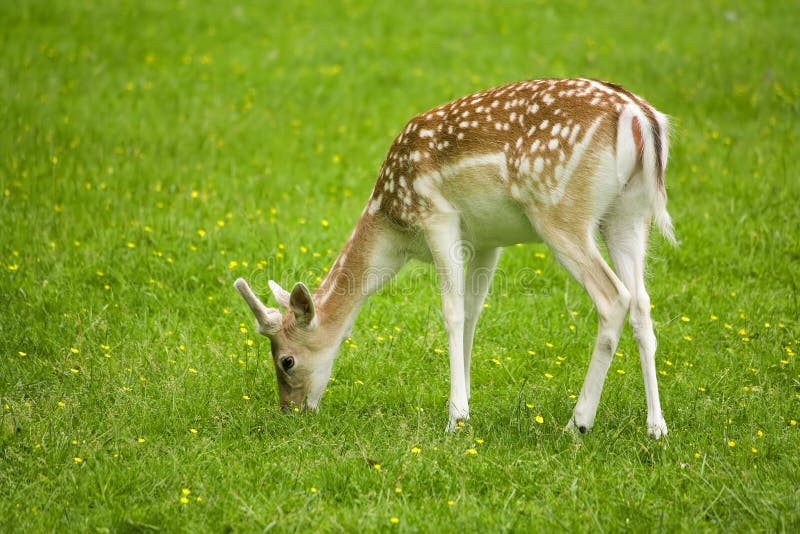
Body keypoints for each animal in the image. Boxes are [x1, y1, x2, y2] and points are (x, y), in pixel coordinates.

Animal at [234, 77, 675, 439]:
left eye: (286, 361)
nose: (290, 410)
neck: (393, 226)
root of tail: (639, 116)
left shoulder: (438, 217)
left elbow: (452, 312)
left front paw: (455, 418)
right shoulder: (486, 240)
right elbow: (474, 312)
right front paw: (467, 405)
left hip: (560, 209)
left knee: (613, 298)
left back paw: (578, 423)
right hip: (630, 213)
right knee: (642, 302)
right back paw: (656, 427)